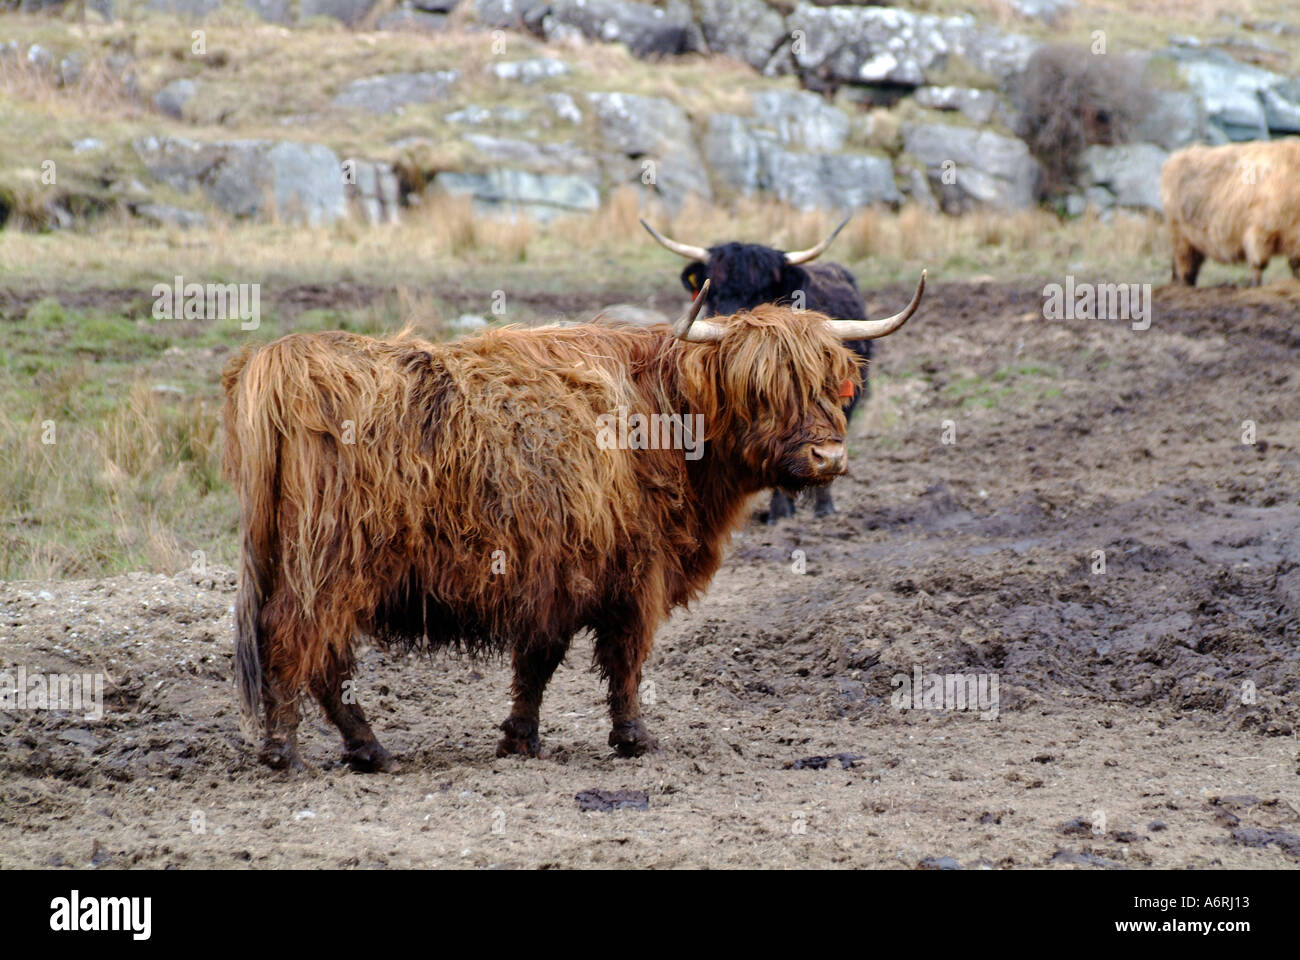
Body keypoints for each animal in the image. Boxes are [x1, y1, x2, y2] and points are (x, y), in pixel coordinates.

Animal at [221, 272, 926, 772]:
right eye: (762, 390)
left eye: (832, 383)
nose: (827, 456)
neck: (668, 416)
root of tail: (287, 356)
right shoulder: (635, 569)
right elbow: (626, 658)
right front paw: (635, 739)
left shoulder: (558, 570)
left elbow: (538, 661)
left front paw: (520, 739)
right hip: (333, 558)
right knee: (298, 640)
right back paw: (292, 751)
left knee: (319, 654)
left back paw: (365, 749)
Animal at [1161, 139, 1300, 287]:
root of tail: (1175, 157)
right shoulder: (1259, 231)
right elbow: (1258, 264)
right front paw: (1255, 284)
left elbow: (1294, 264)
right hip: (1181, 236)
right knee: (1183, 265)